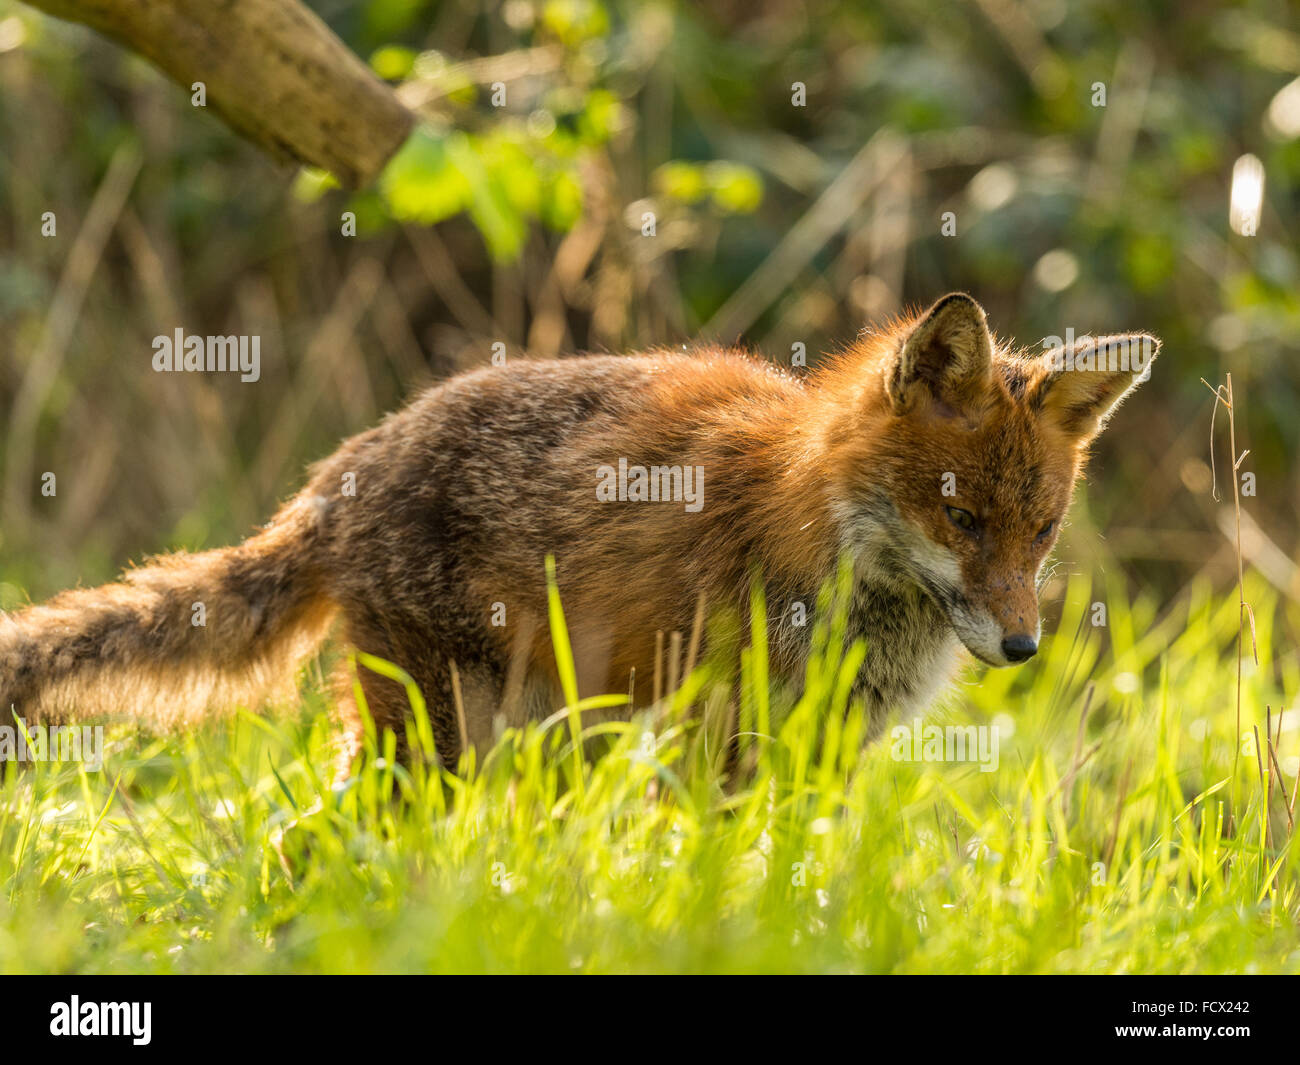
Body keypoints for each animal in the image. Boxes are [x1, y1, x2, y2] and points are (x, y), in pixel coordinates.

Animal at [0, 293, 1157, 775]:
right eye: (958, 519)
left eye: (1042, 531)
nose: (1022, 647)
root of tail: (345, 466)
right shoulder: (720, 738)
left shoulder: (821, 748)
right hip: (443, 737)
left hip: (544, 732)